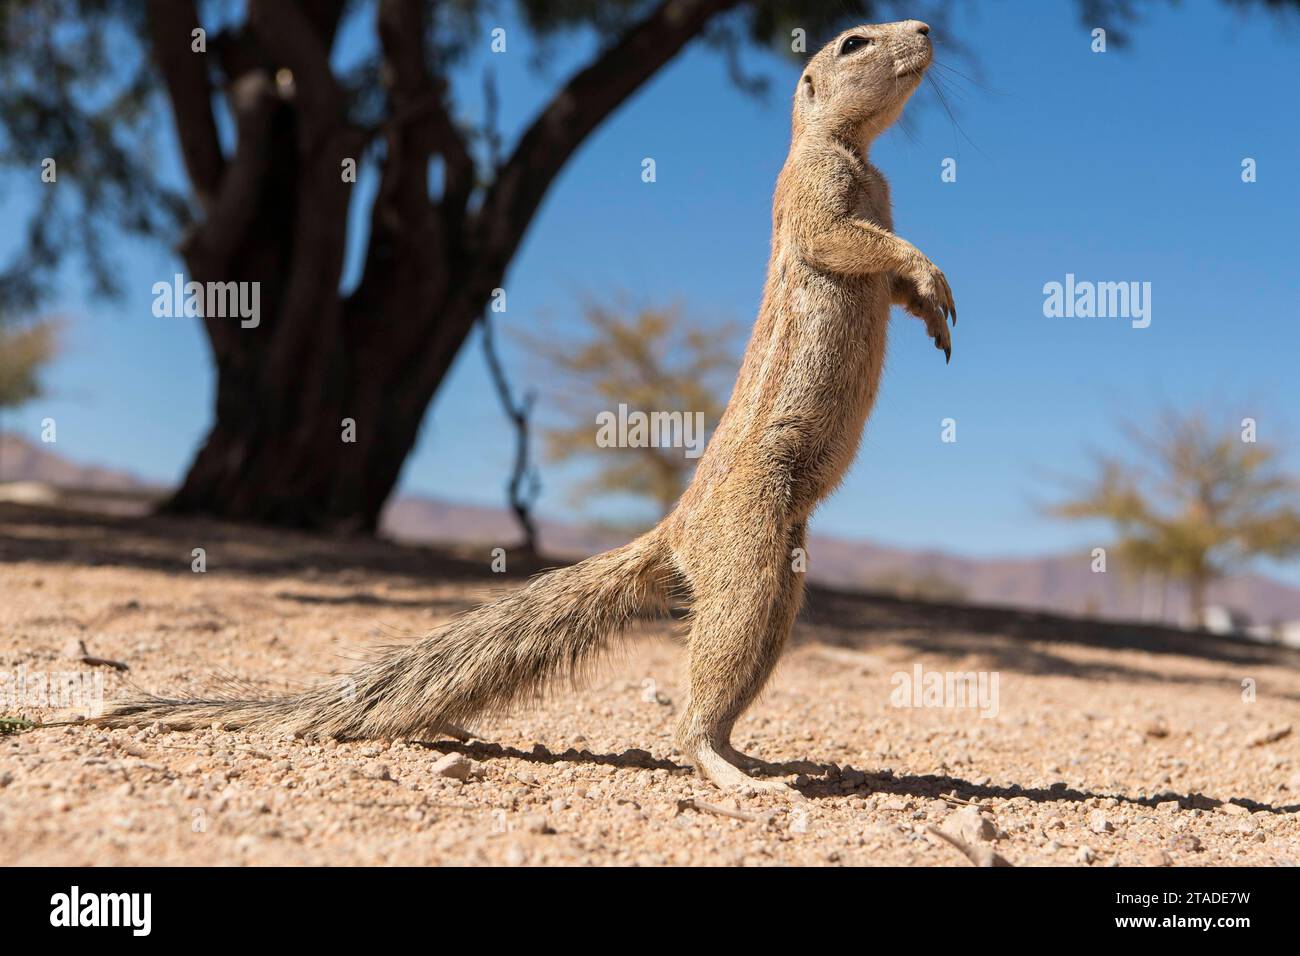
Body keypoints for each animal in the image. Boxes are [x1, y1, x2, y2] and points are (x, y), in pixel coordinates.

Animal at [94, 20, 956, 795]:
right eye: (853, 42)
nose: (924, 27)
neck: (856, 152)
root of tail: (675, 527)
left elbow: (883, 262)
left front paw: (926, 307)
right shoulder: (816, 199)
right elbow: (848, 238)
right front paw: (929, 276)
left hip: (784, 563)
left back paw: (750, 757)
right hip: (750, 549)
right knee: (706, 684)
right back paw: (726, 768)